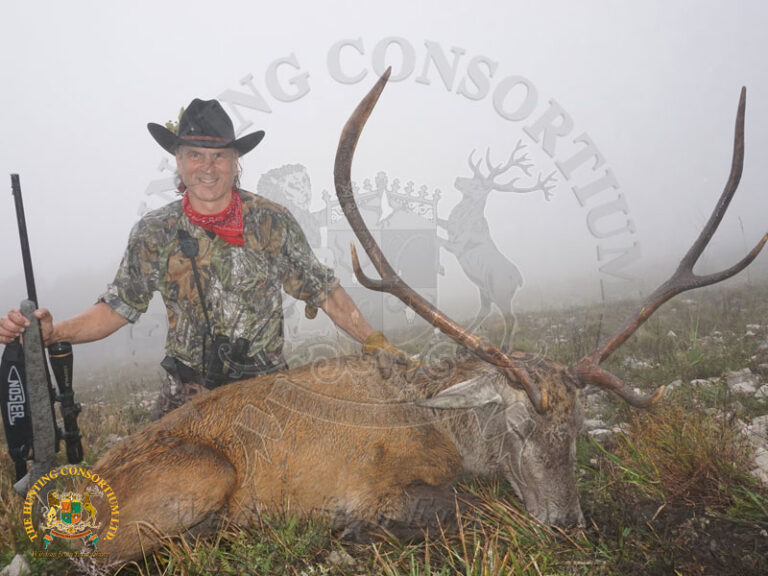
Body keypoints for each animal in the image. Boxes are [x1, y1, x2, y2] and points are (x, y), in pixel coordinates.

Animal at [70, 70, 764, 565]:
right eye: (514, 427)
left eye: (577, 430)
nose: (566, 523)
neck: (444, 429)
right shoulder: (377, 486)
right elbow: (456, 504)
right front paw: (353, 530)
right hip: (196, 475)